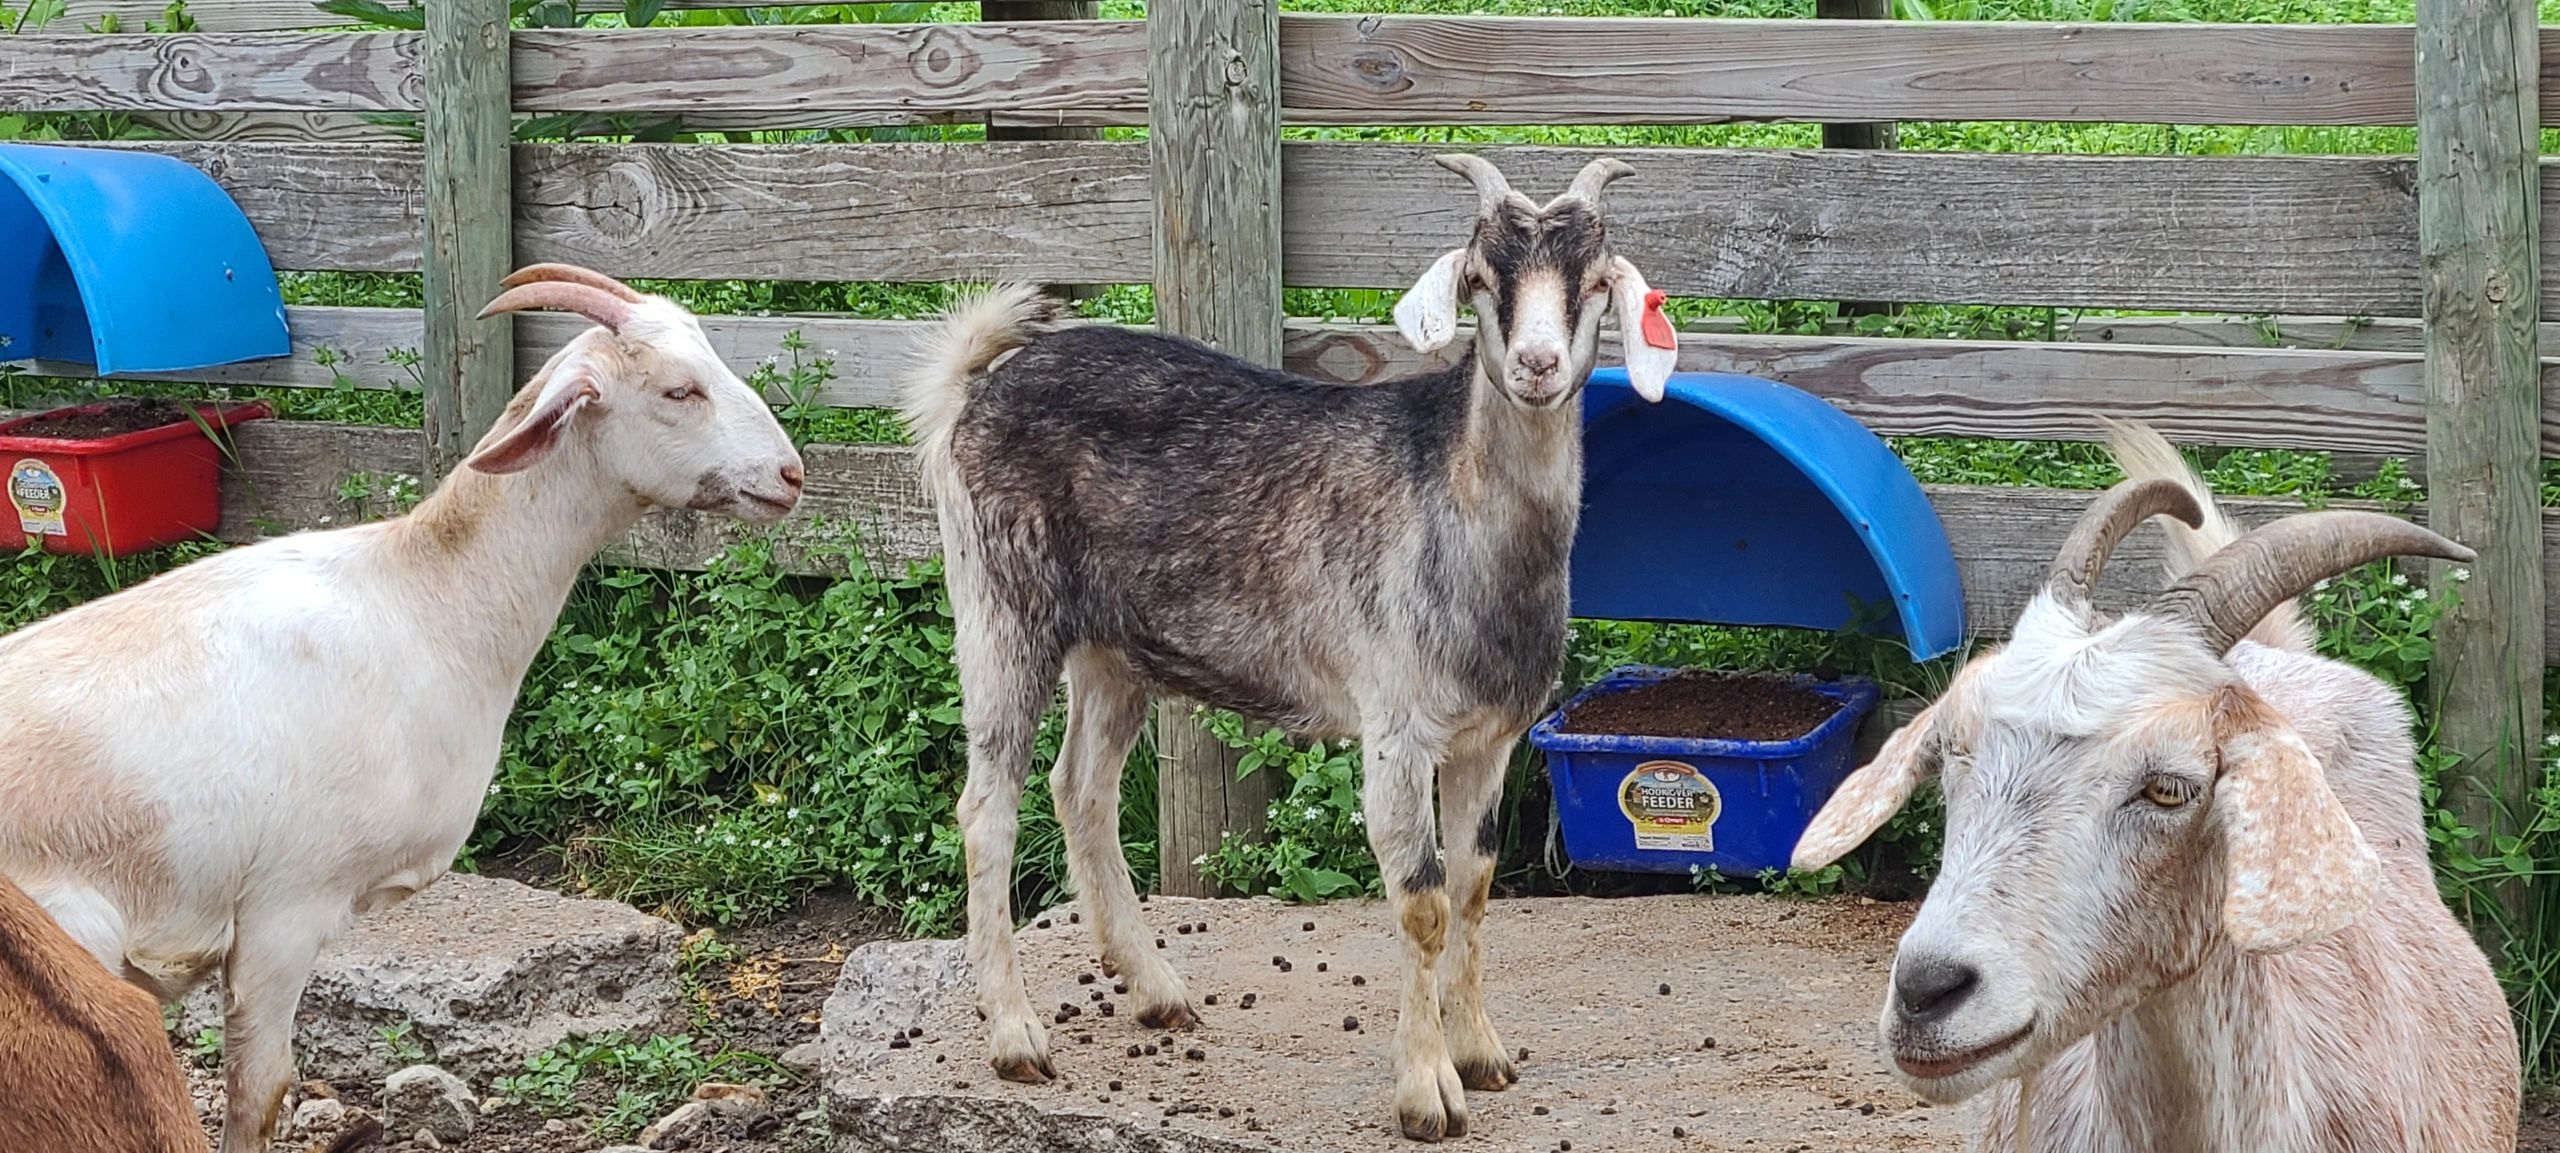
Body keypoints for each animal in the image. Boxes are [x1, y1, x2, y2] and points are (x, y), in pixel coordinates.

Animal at [903, 152, 1677, 1143]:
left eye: (1594, 280)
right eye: (1481, 278)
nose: (1537, 364)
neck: (1458, 503)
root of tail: (975, 392)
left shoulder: (1489, 738)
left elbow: (1473, 884)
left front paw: (1483, 1054)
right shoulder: (1397, 726)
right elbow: (1424, 899)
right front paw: (1427, 1091)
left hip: (1113, 649)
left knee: (1080, 788)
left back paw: (1157, 988)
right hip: (1001, 608)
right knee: (987, 807)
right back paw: (1015, 1035)